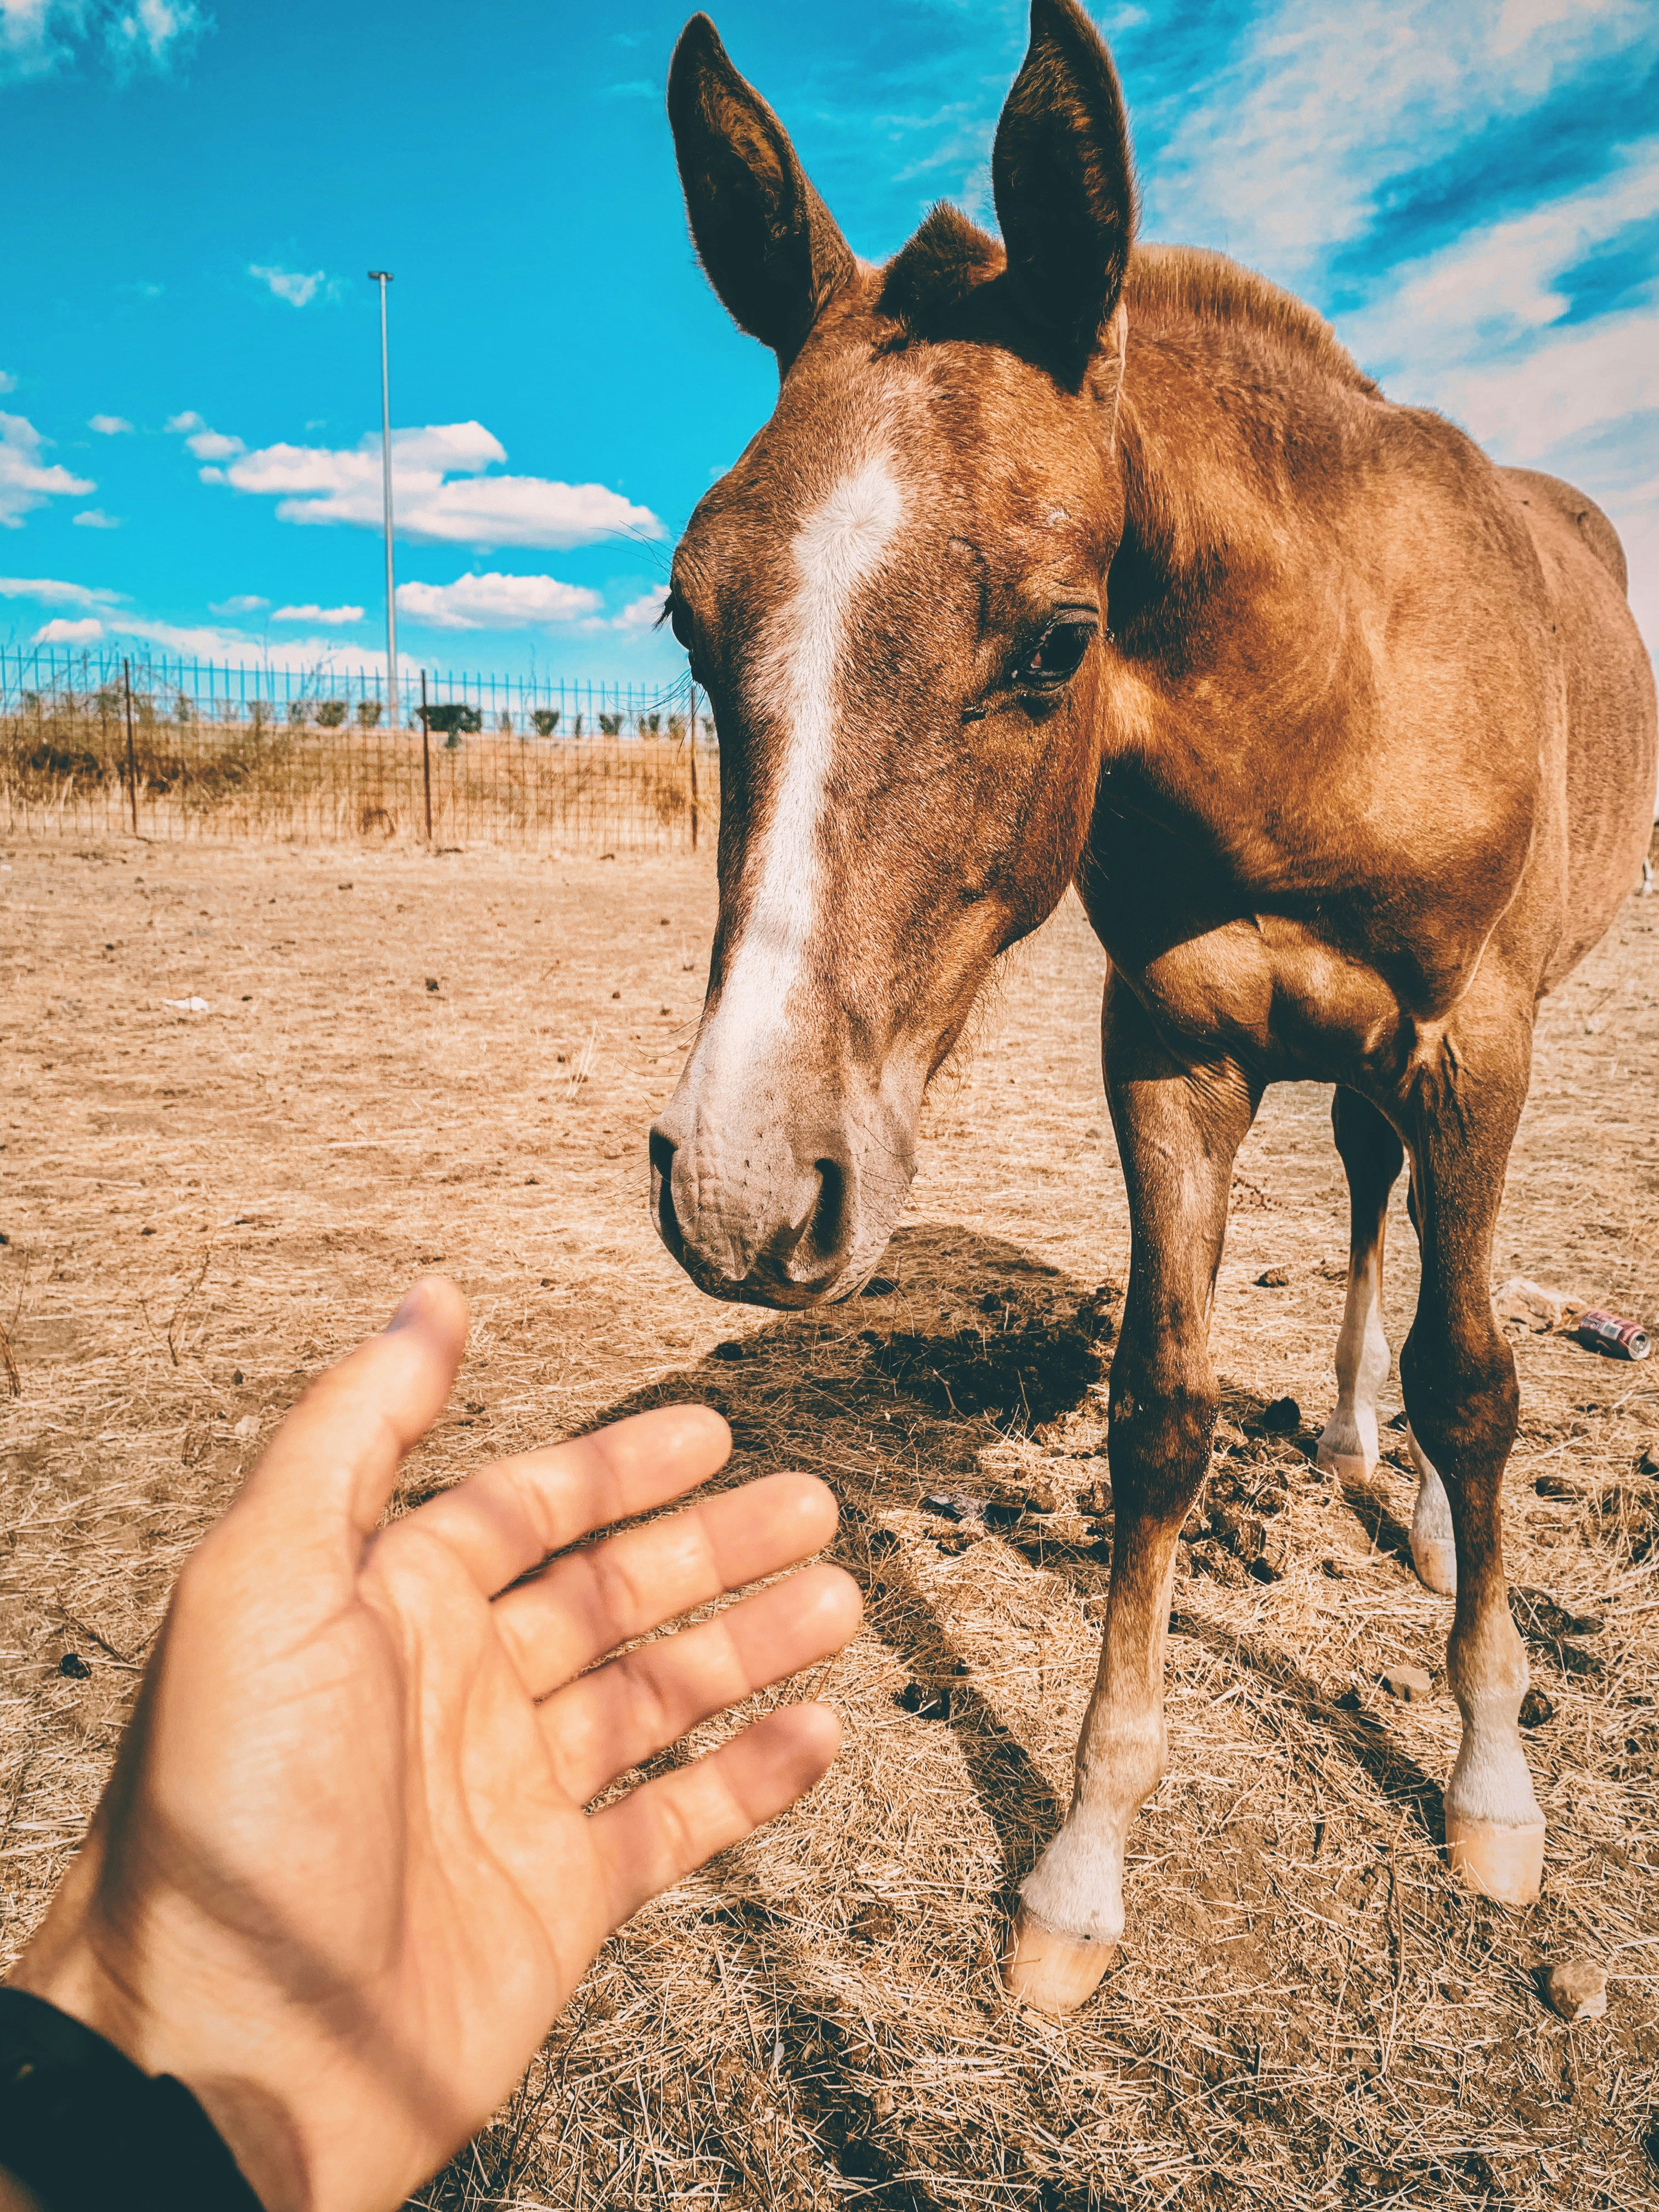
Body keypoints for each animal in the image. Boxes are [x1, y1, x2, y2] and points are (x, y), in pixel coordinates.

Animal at [648, 0, 1658, 2014]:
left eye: (1058, 638)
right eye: (687, 622)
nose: (738, 1185)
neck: (1323, 698)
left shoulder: (1476, 1044)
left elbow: (1481, 1381)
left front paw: (1490, 1783)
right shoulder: (1173, 1051)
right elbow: (1160, 1418)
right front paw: (1081, 1865)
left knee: (1437, 1282)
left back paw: (1430, 1518)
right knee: (1367, 1196)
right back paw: (1353, 1446)